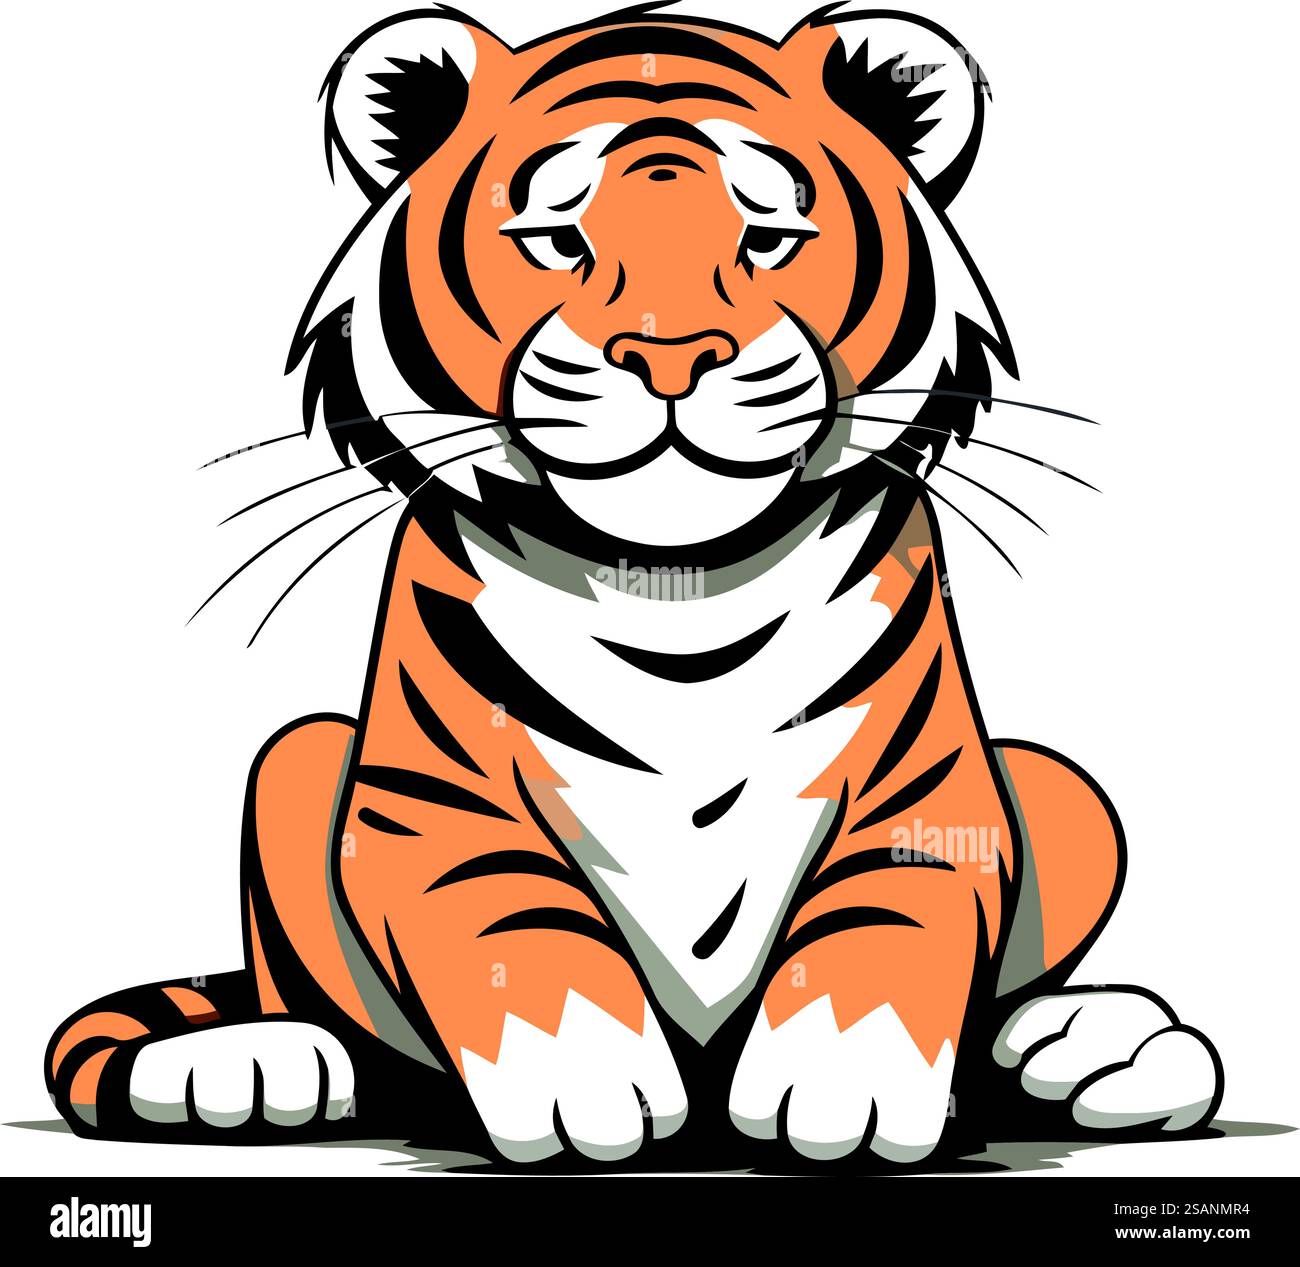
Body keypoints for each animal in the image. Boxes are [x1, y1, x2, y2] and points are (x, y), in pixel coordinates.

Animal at [45, 3, 1224, 1167]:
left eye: (766, 238)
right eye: (558, 241)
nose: (670, 357)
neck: (678, 586)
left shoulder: (927, 784)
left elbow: (890, 914)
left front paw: (846, 1084)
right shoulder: (429, 801)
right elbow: (504, 916)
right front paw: (579, 1084)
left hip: (1065, 787)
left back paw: (1105, 1047)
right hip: (292, 761)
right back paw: (247, 1063)